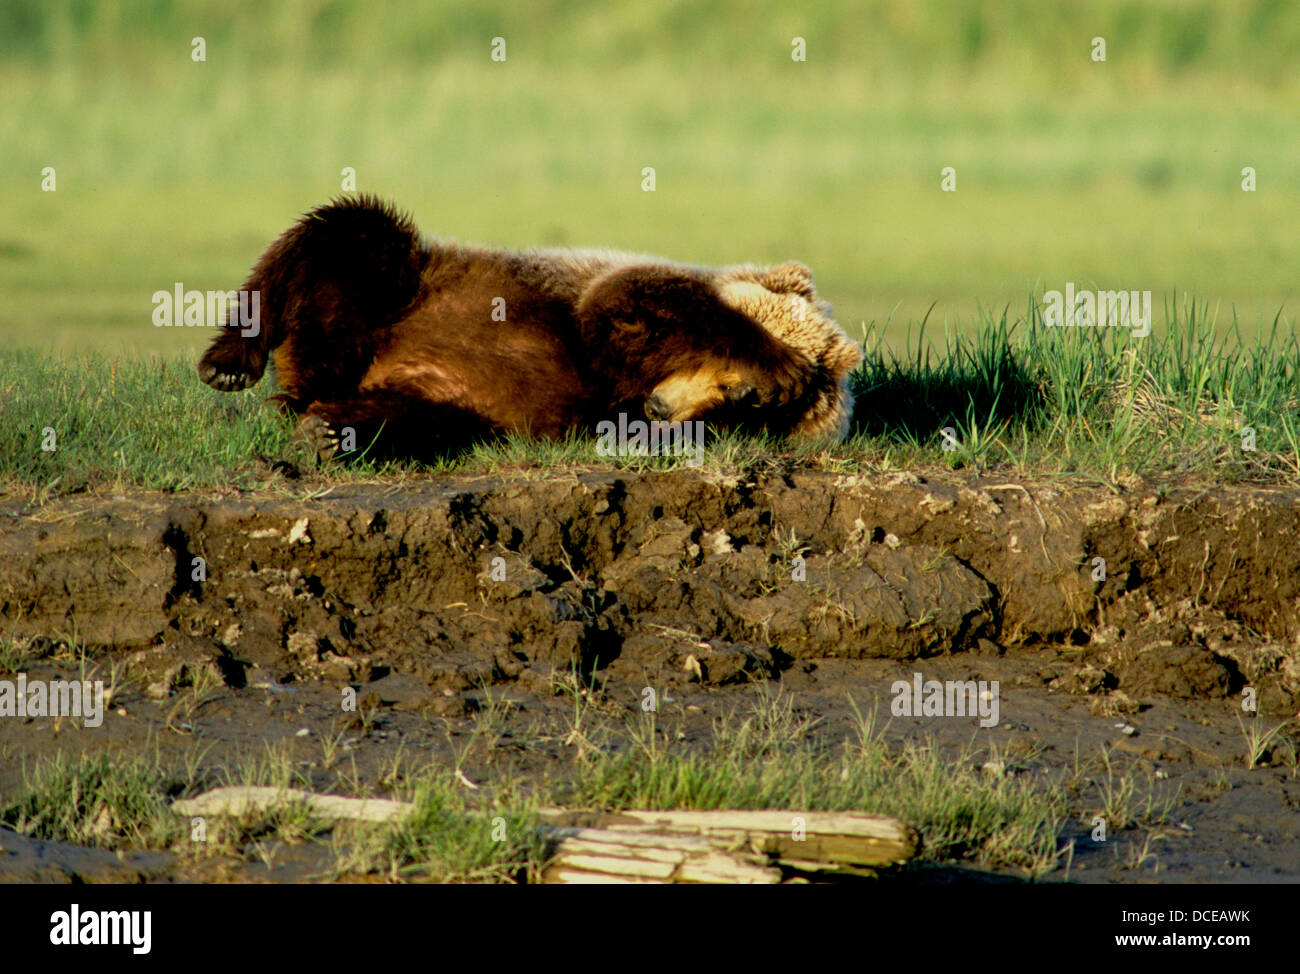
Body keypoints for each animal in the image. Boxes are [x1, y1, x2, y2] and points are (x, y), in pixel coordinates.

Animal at [197, 195, 860, 460]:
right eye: (732, 381)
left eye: (745, 407)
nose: (665, 408)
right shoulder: (600, 304)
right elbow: (635, 295)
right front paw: (779, 356)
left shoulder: (610, 401)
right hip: (392, 288)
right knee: (350, 231)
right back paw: (231, 361)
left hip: (441, 399)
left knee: (414, 418)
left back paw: (332, 431)